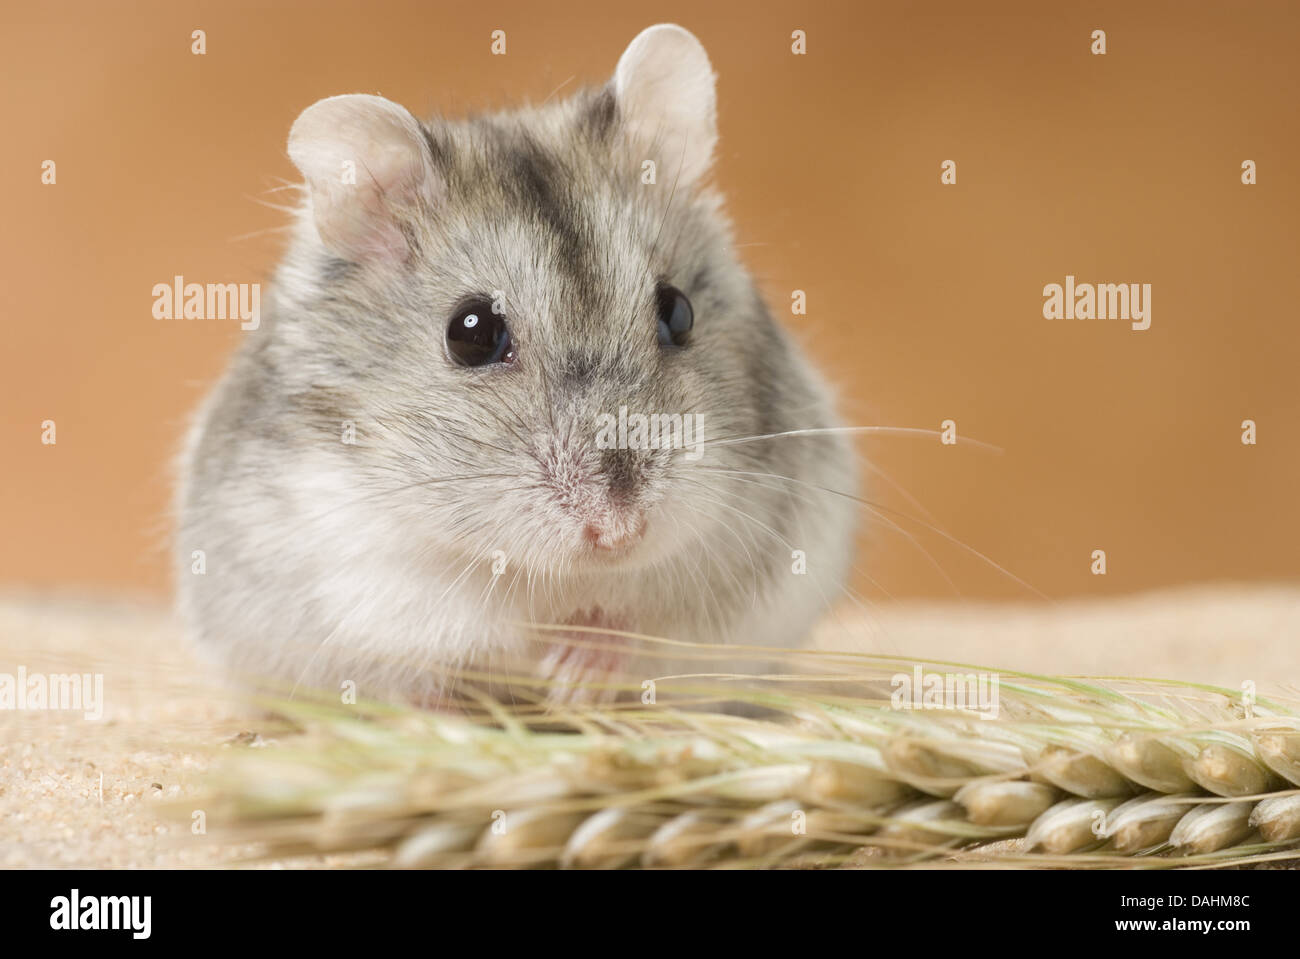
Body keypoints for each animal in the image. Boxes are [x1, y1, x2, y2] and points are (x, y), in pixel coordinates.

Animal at [175, 24, 858, 709]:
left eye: (678, 312)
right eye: (471, 333)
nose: (621, 534)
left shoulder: (734, 557)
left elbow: (638, 620)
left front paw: (574, 676)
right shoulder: (363, 566)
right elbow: (474, 626)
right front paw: (526, 673)